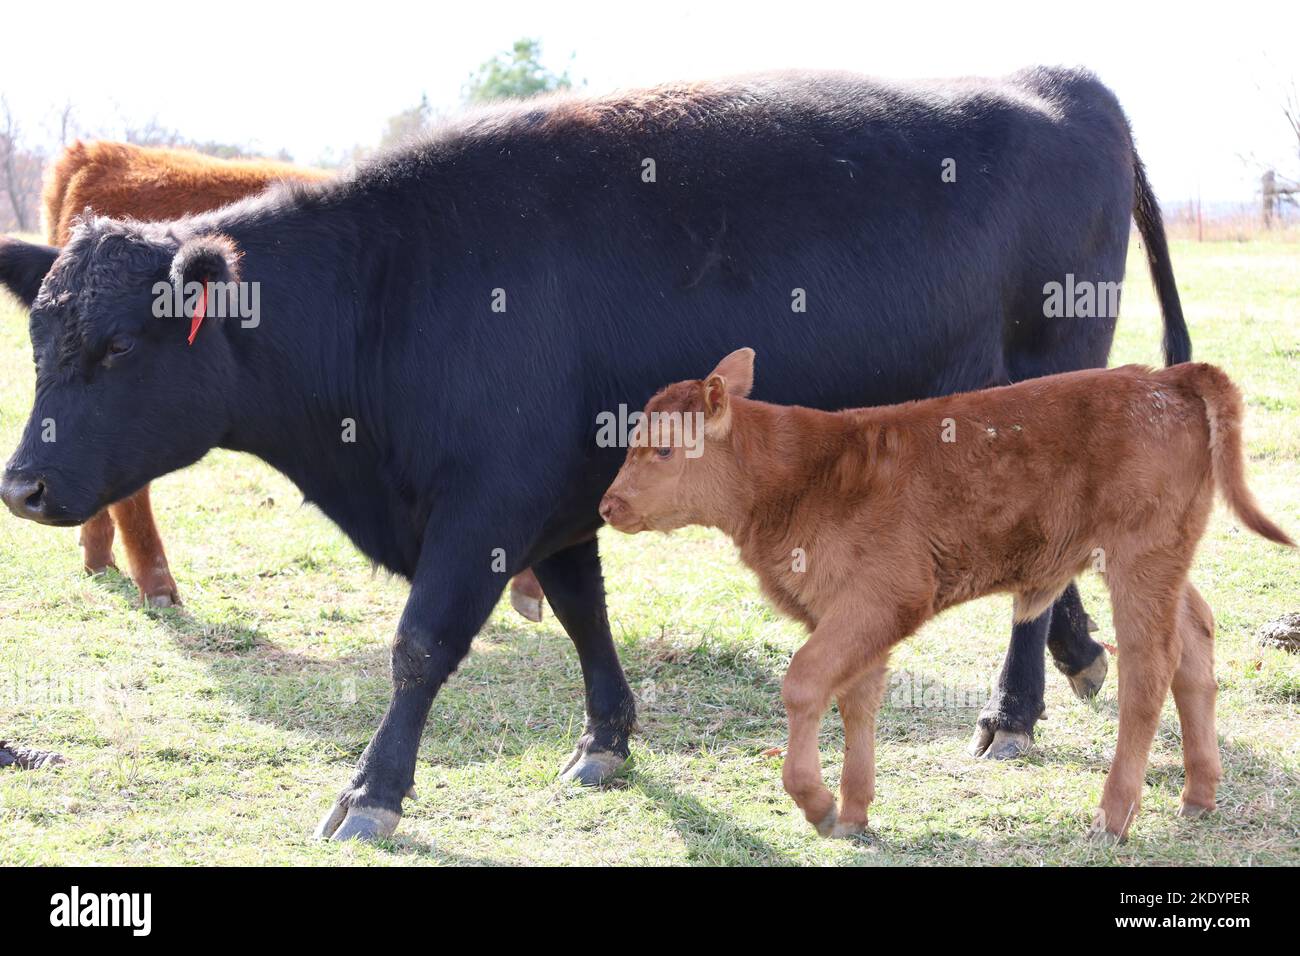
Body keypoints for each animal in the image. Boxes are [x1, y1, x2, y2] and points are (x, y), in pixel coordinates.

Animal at [0, 68, 1190, 840]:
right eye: (40, 339)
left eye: (115, 348)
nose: (22, 484)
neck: (393, 284)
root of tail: (1059, 82)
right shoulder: (560, 493)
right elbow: (582, 610)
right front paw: (607, 738)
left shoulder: (487, 502)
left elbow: (421, 645)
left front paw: (371, 790)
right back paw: (1073, 662)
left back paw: (1014, 711)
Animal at [600, 350, 1292, 841]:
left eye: (663, 449)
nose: (608, 506)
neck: (800, 474)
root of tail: (1166, 377)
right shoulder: (854, 611)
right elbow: (856, 699)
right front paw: (854, 812)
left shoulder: (883, 596)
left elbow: (803, 683)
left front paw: (816, 802)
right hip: (1160, 560)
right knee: (1196, 640)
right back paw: (1199, 795)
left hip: (1139, 558)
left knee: (1149, 672)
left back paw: (1112, 818)